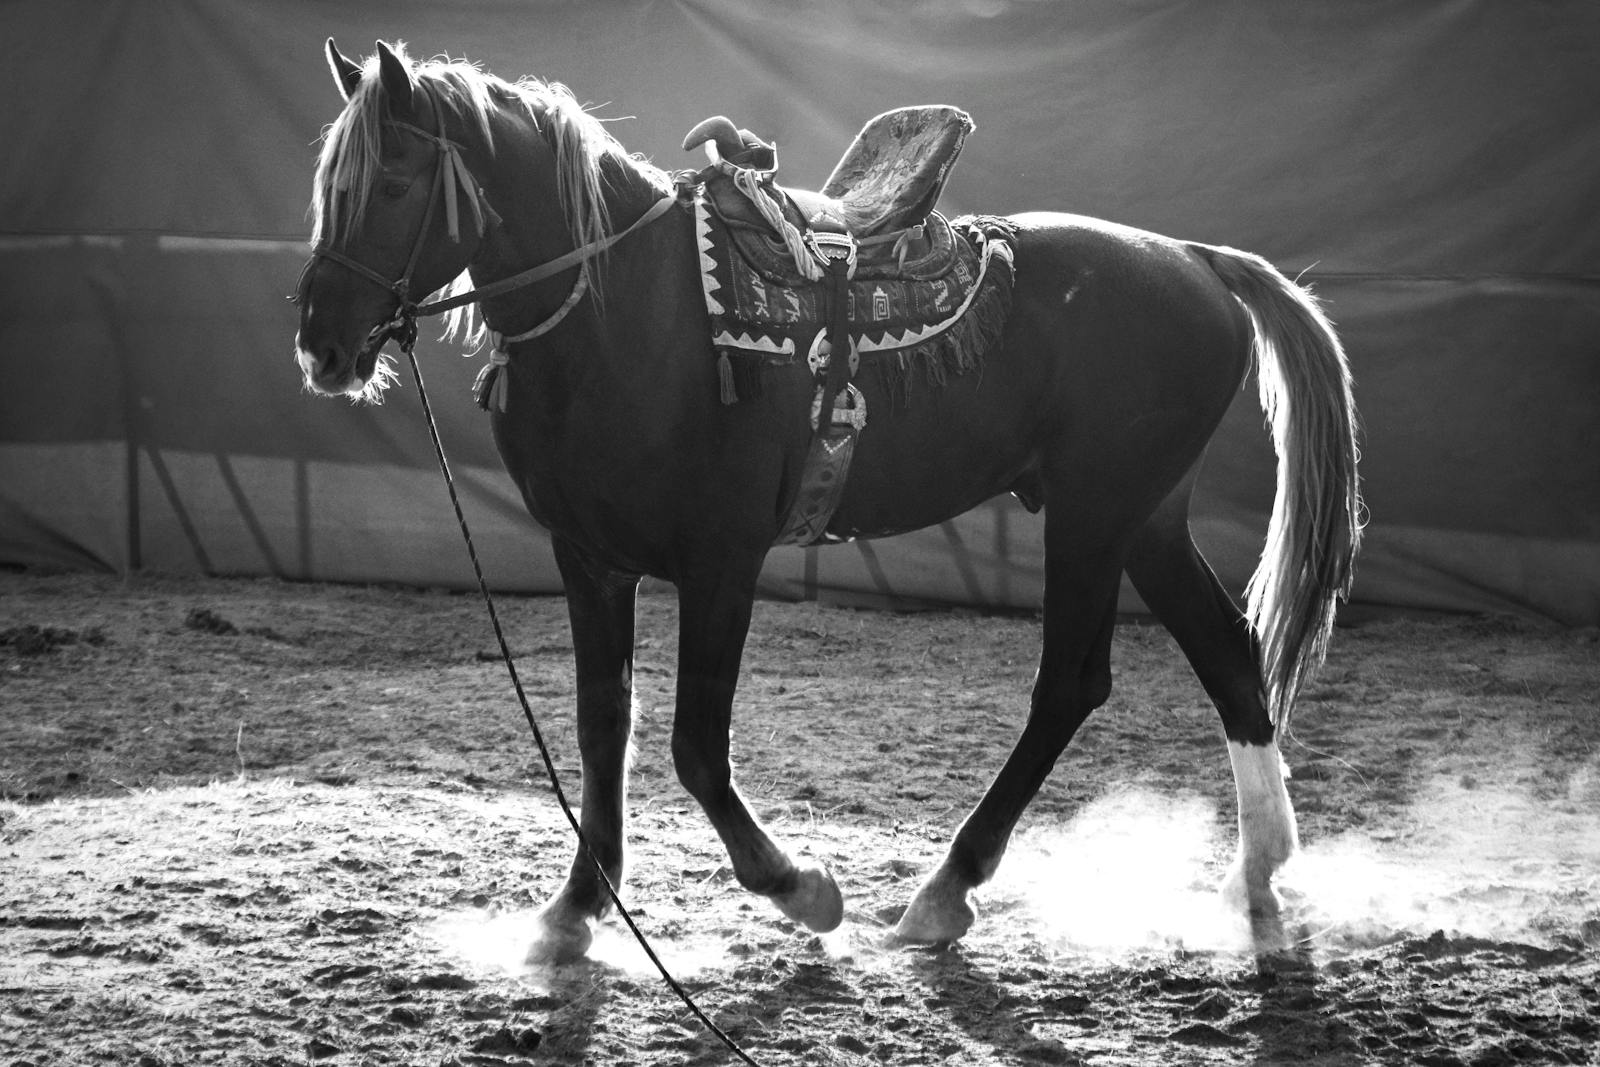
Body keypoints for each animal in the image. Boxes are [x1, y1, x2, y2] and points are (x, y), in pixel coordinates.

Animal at [293, 40, 1361, 962]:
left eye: (391, 184)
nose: (322, 347)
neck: (630, 313)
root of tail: (1196, 259)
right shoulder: (590, 559)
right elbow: (603, 732)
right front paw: (576, 906)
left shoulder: (720, 561)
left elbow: (694, 747)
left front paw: (800, 887)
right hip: (1146, 519)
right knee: (1227, 656)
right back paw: (1256, 873)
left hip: (1096, 516)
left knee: (1072, 682)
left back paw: (945, 888)